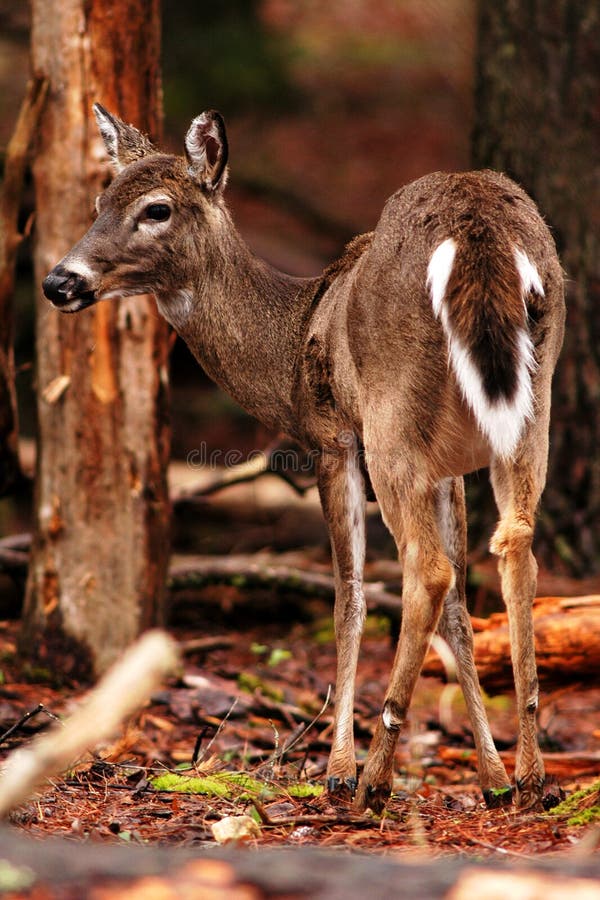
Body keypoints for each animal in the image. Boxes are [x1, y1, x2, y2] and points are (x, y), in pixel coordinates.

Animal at [42, 105, 565, 814]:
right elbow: (461, 612)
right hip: (532, 407)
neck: (287, 348)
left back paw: (373, 780)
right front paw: (491, 777)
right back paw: (534, 779)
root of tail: (479, 234)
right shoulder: (452, 465)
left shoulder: (331, 437)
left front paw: (337, 769)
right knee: (516, 555)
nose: (58, 281)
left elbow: (349, 598)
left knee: (425, 571)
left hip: (391, 414)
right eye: (99, 201)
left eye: (156, 209)